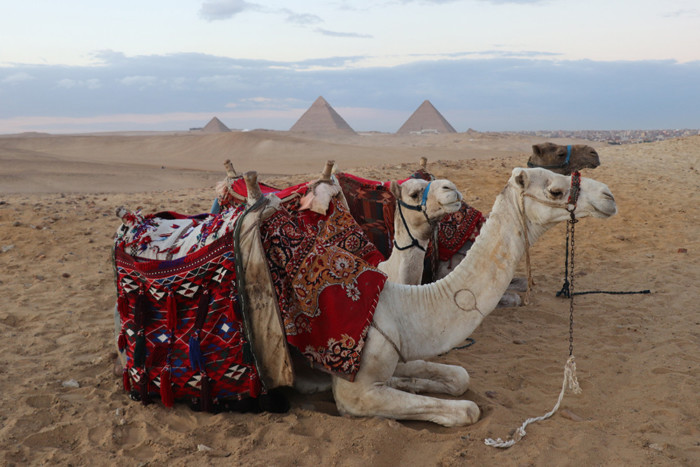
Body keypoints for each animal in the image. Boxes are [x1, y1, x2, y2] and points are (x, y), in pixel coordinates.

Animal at [327, 167, 617, 426]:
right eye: (555, 191)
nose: (608, 195)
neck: (400, 302)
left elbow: (460, 377)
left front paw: (411, 383)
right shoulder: (355, 392)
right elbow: (468, 410)